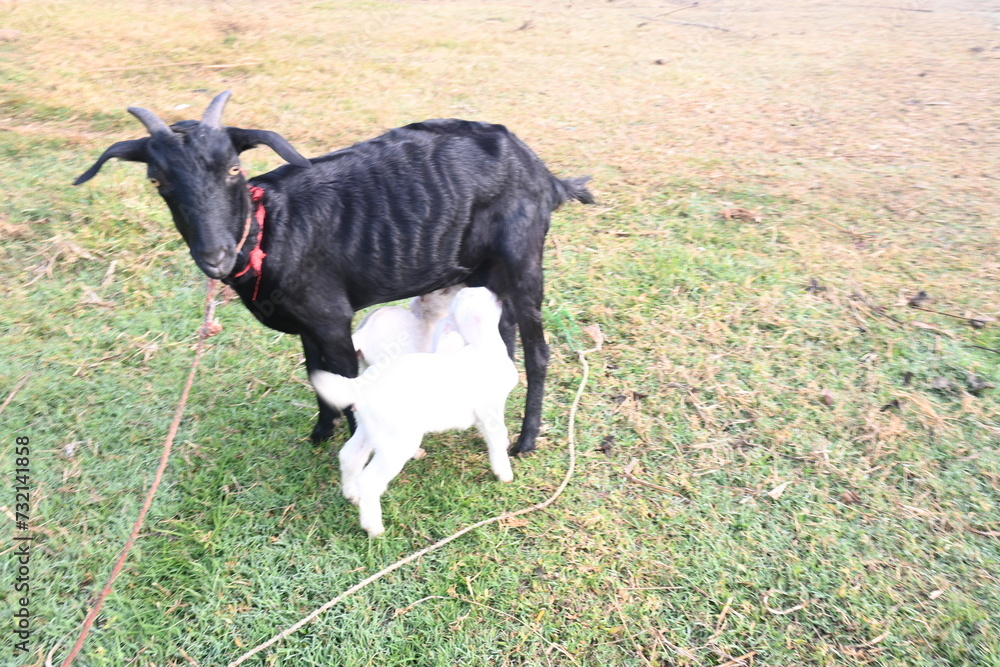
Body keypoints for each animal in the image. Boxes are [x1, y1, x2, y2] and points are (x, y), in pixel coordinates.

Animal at [75, 91, 593, 454]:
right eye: (157, 180)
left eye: (233, 169)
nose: (215, 255)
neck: (268, 229)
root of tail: (546, 176)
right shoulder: (308, 321)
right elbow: (315, 375)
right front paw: (319, 434)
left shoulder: (331, 316)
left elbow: (345, 383)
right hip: (487, 273)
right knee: (503, 337)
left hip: (523, 260)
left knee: (538, 351)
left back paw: (525, 440)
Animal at [311, 287, 517, 536]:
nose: (495, 292)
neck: (481, 347)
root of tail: (359, 387)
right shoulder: (491, 408)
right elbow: (497, 438)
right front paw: (504, 474)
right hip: (397, 442)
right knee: (369, 480)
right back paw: (374, 528)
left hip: (369, 429)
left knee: (350, 456)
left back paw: (352, 495)